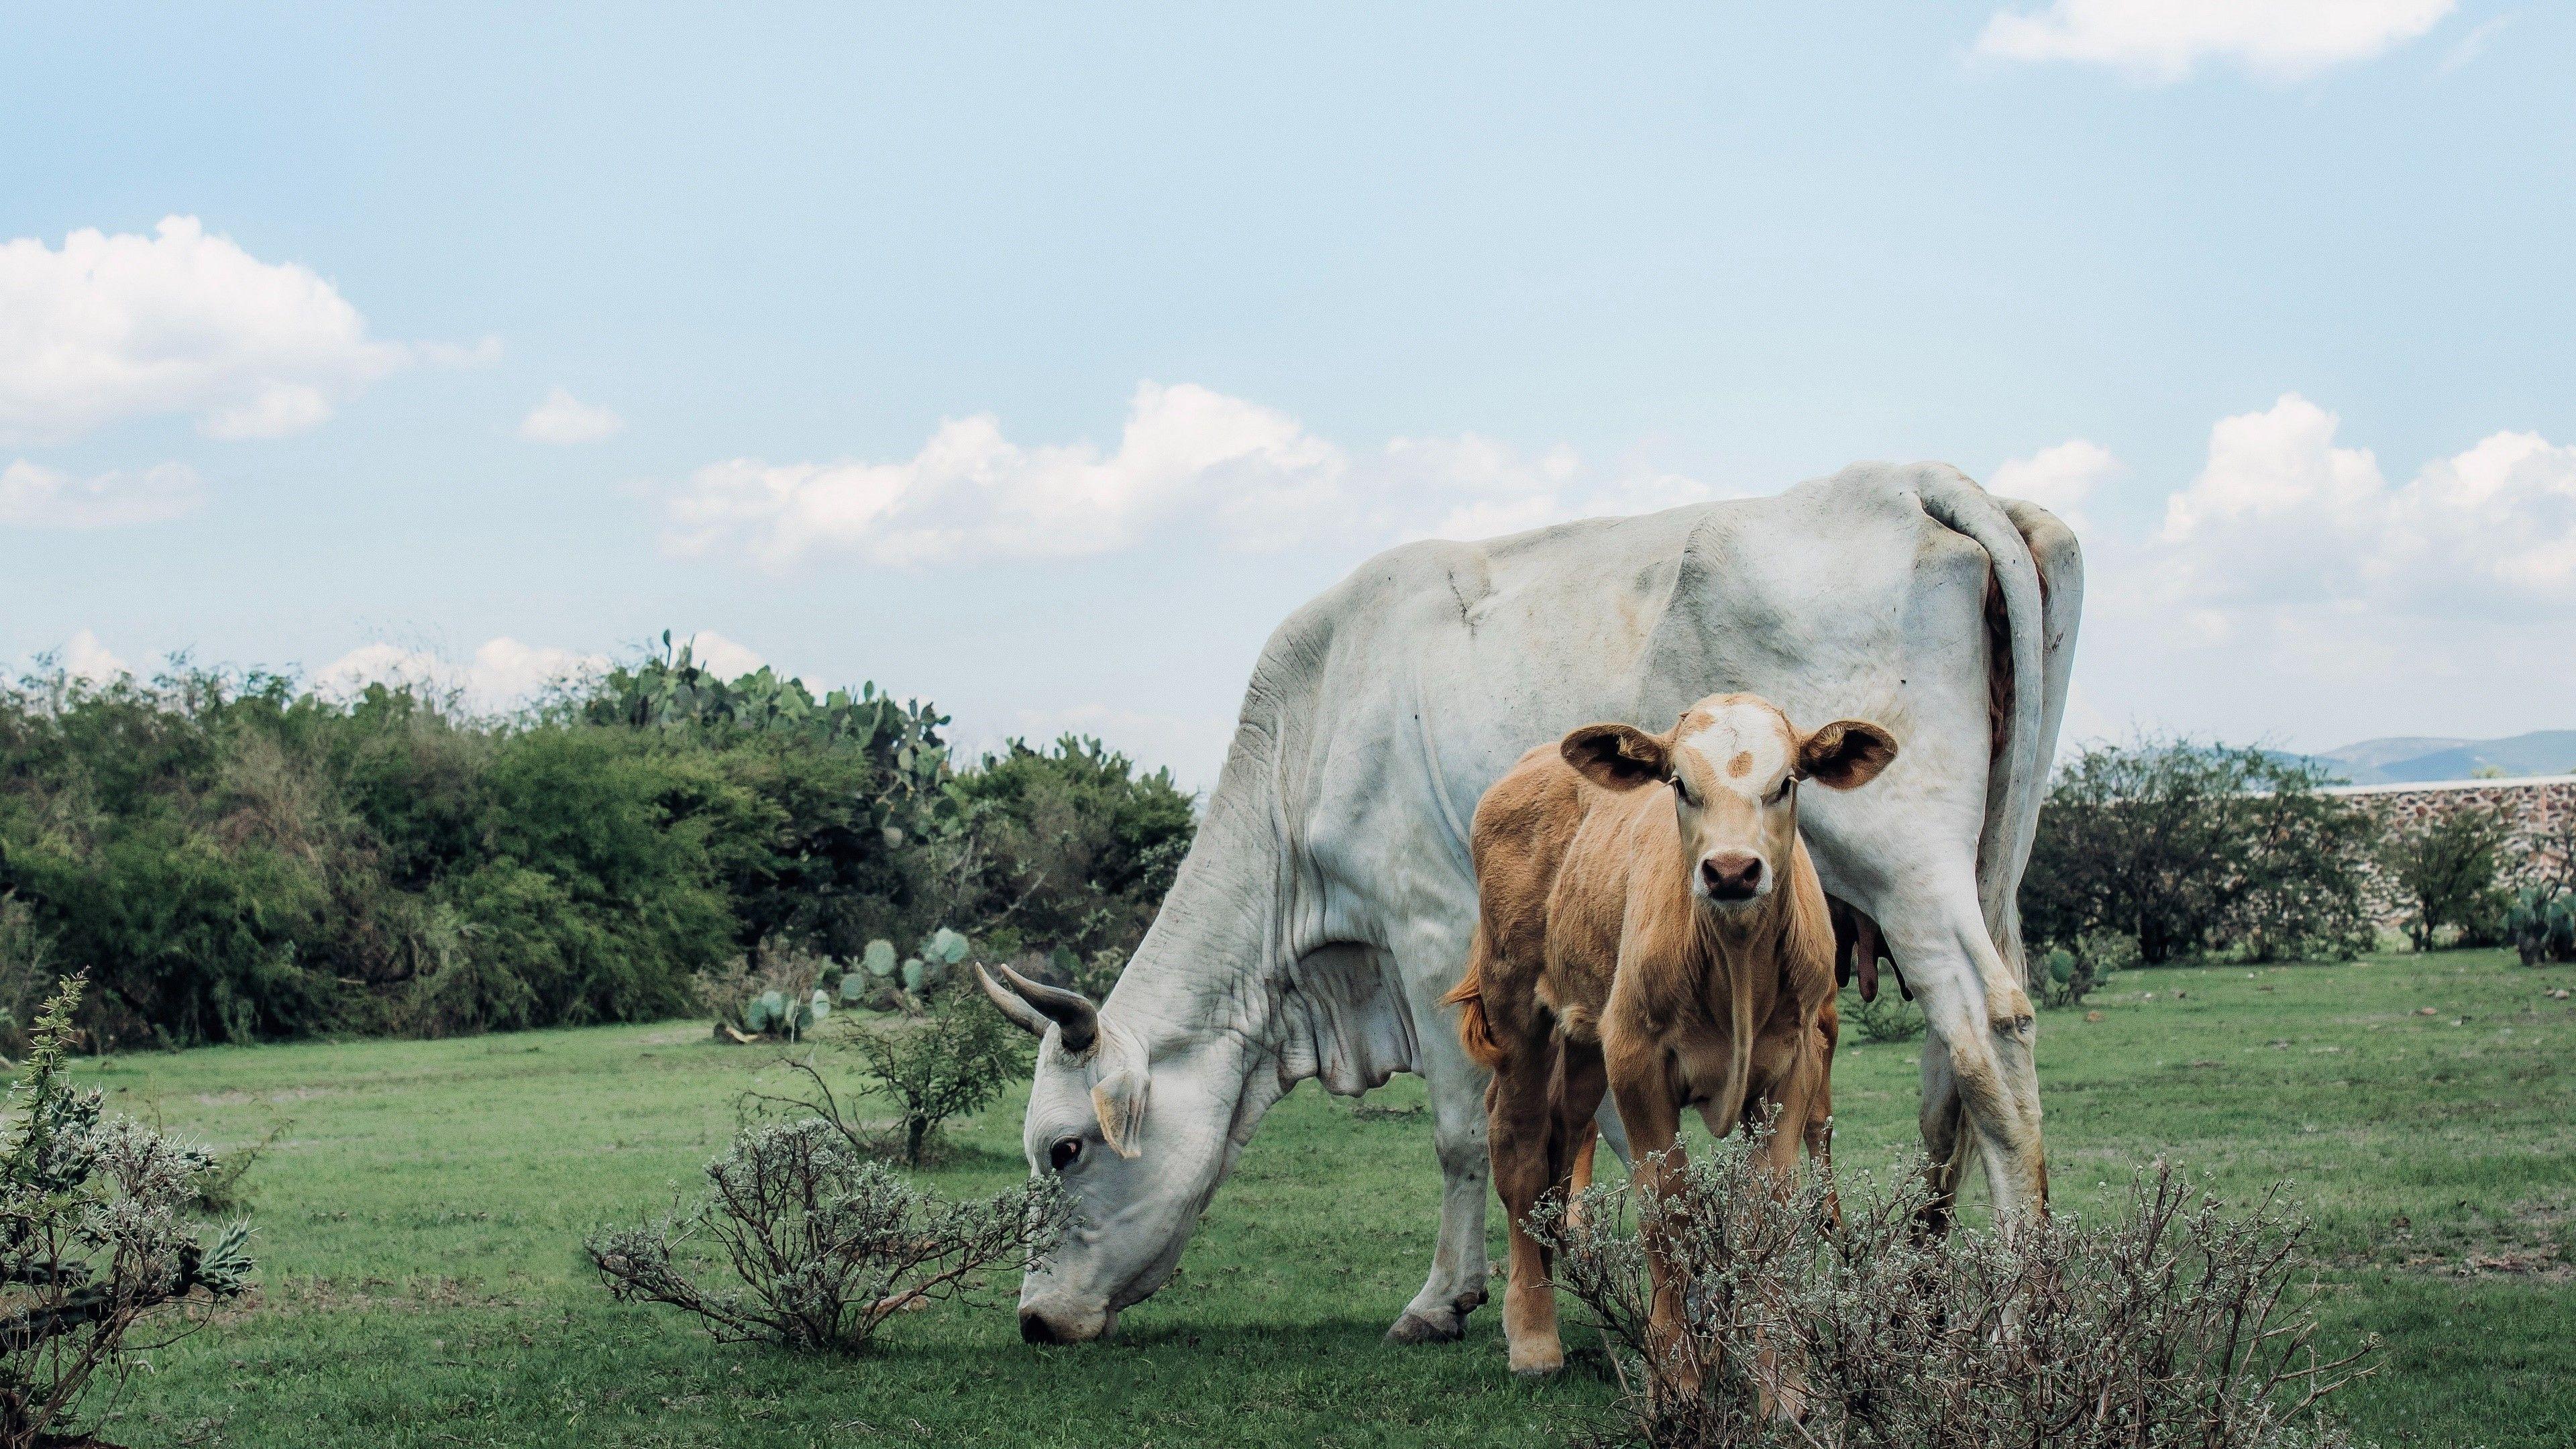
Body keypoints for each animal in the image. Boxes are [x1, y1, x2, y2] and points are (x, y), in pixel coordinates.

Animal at [1442, 696, 1895, 1375]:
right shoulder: (1637, 1058)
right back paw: (1532, 1331)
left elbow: (1769, 1208)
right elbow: (1667, 1207)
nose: (1732, 871)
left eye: (1787, 782)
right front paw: (1676, 1373)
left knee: (1561, 1136)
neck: (1734, 965)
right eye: (1680, 784)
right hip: (1518, 1008)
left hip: (1586, 1037)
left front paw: (1782, 1382)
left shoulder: (1798, 1063)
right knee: (1519, 1146)